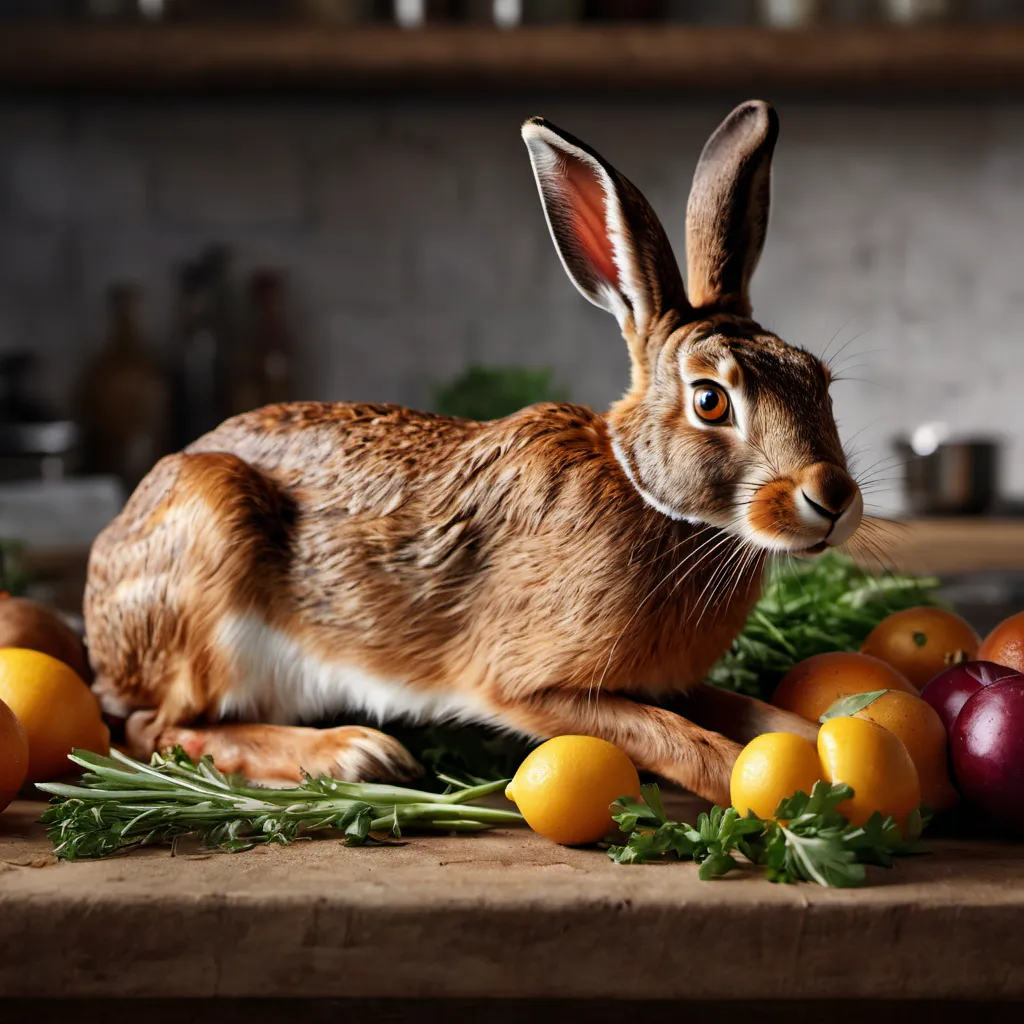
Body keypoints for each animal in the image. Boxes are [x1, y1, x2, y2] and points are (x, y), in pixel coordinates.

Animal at [84, 100, 862, 806]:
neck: (647, 494)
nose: (832, 498)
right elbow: (681, 742)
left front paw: (838, 743)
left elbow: (758, 714)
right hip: (209, 565)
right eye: (710, 401)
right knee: (156, 731)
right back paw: (355, 754)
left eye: (820, 379)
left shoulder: (671, 682)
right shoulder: (531, 685)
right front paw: (774, 788)